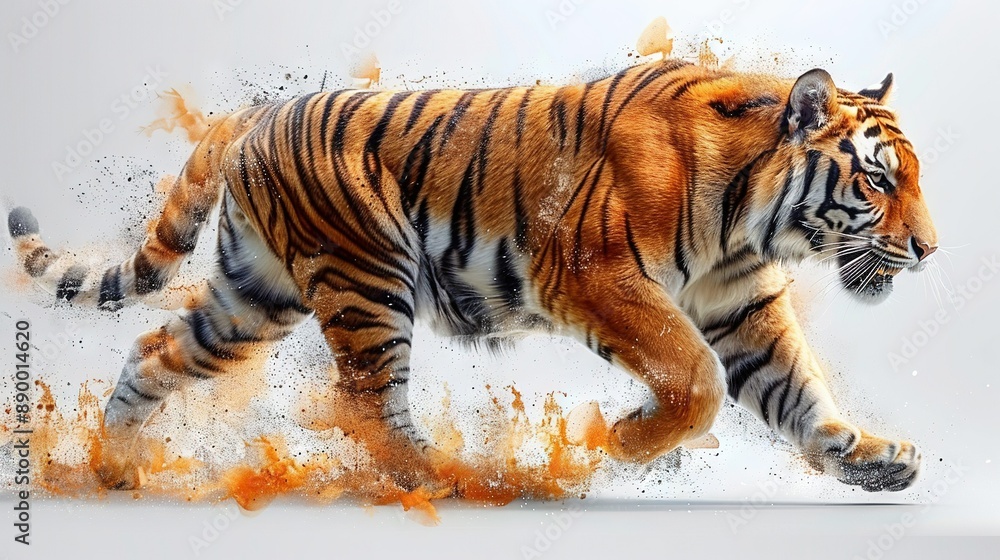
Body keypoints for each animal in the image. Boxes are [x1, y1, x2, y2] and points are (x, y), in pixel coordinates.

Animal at [7, 57, 938, 494]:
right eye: (878, 180)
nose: (930, 249)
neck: (751, 219)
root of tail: (259, 113)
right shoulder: (595, 274)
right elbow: (695, 376)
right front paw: (626, 442)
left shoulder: (742, 304)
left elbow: (797, 389)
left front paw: (866, 459)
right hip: (366, 277)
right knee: (367, 404)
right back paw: (462, 480)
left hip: (253, 298)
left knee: (153, 349)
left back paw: (115, 466)